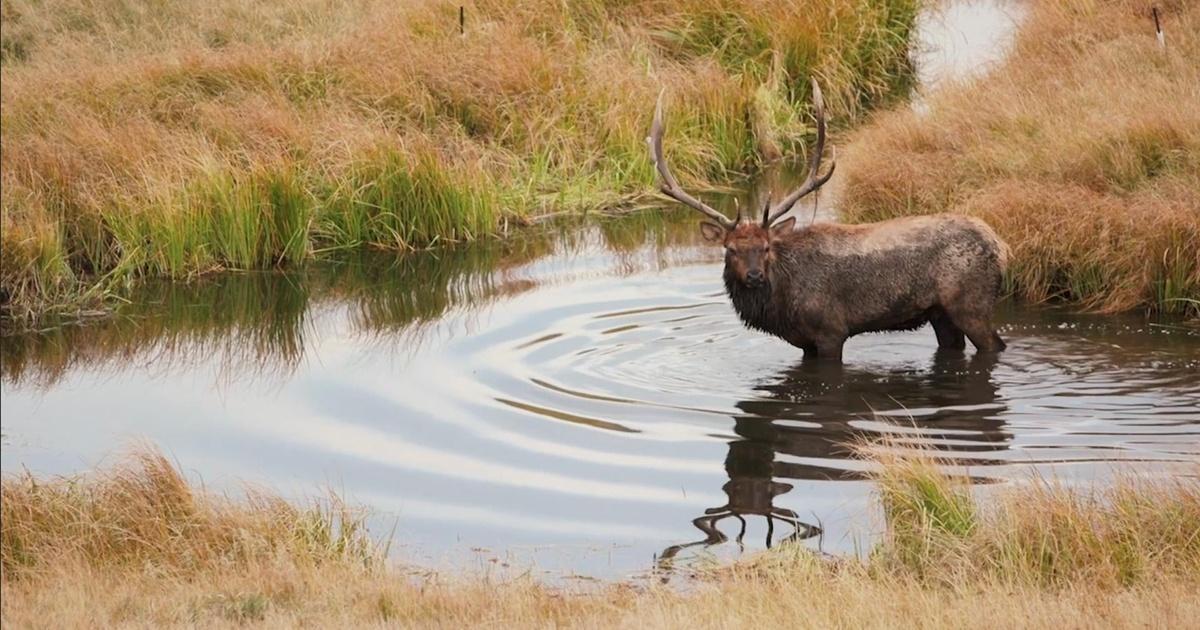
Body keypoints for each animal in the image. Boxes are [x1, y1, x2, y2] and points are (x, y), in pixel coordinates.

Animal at [647, 80, 1010, 362]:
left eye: (766, 247)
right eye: (731, 249)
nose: (753, 276)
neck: (782, 305)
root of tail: (1000, 246)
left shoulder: (830, 330)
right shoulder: (804, 341)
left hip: (970, 302)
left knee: (995, 345)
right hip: (939, 313)